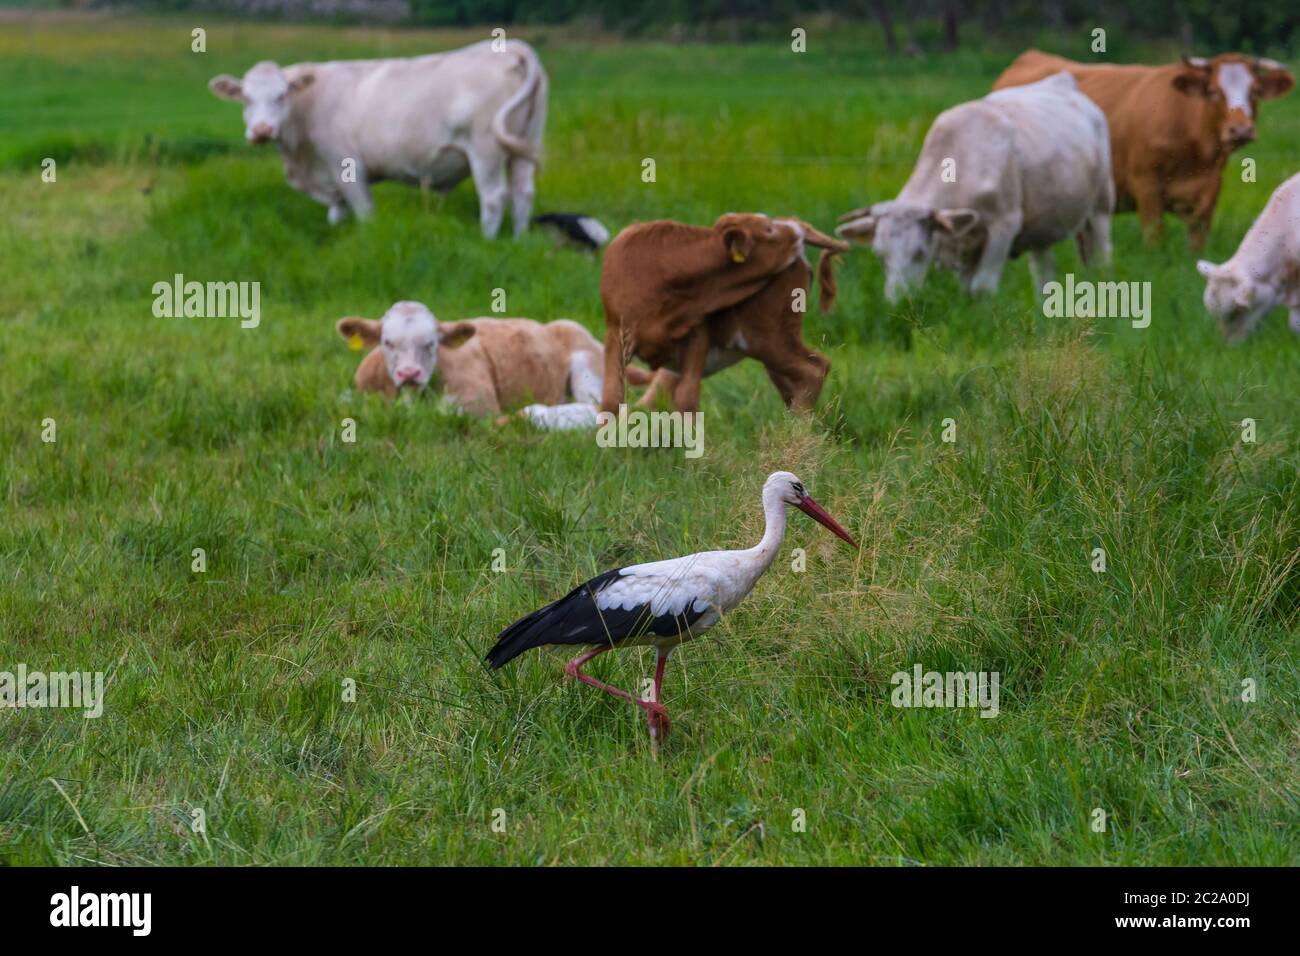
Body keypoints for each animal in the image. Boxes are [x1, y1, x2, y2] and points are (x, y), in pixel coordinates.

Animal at [208, 39, 547, 238]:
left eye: (281, 96)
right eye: (245, 98)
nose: (262, 131)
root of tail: (513, 47)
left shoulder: (347, 167)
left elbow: (364, 213)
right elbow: (337, 217)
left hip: (486, 149)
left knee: (494, 197)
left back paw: (486, 240)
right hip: (525, 143)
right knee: (523, 194)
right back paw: (518, 241)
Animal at [337, 301, 650, 420]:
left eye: (431, 343)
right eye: (387, 342)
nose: (409, 373)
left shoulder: (480, 400)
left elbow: (445, 410)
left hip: (588, 370)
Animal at [599, 213, 848, 414]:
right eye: (768, 229)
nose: (796, 227)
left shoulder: (697, 331)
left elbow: (687, 397)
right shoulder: (616, 330)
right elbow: (612, 399)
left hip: (770, 337)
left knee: (813, 369)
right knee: (796, 381)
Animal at [836, 72, 1113, 302]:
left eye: (920, 253)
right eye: (880, 255)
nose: (898, 302)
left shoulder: (1004, 226)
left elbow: (982, 287)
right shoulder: (965, 245)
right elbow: (967, 288)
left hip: (1101, 205)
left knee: (1102, 257)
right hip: (1043, 222)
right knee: (1043, 267)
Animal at [993, 49, 1294, 251]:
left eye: (1255, 91)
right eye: (1212, 91)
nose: (1240, 129)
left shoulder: (1210, 193)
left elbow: (1197, 246)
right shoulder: (1147, 187)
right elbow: (1155, 239)